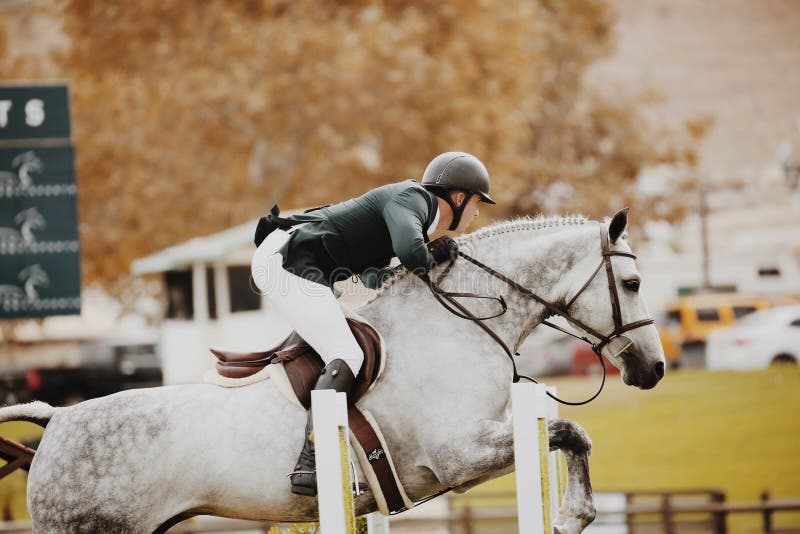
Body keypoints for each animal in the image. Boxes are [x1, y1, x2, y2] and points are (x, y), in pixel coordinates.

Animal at [0, 209, 665, 534]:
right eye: (633, 283)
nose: (654, 369)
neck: (458, 324)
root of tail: (55, 420)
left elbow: (570, 435)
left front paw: (575, 514)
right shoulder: (458, 453)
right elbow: (570, 431)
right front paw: (575, 515)